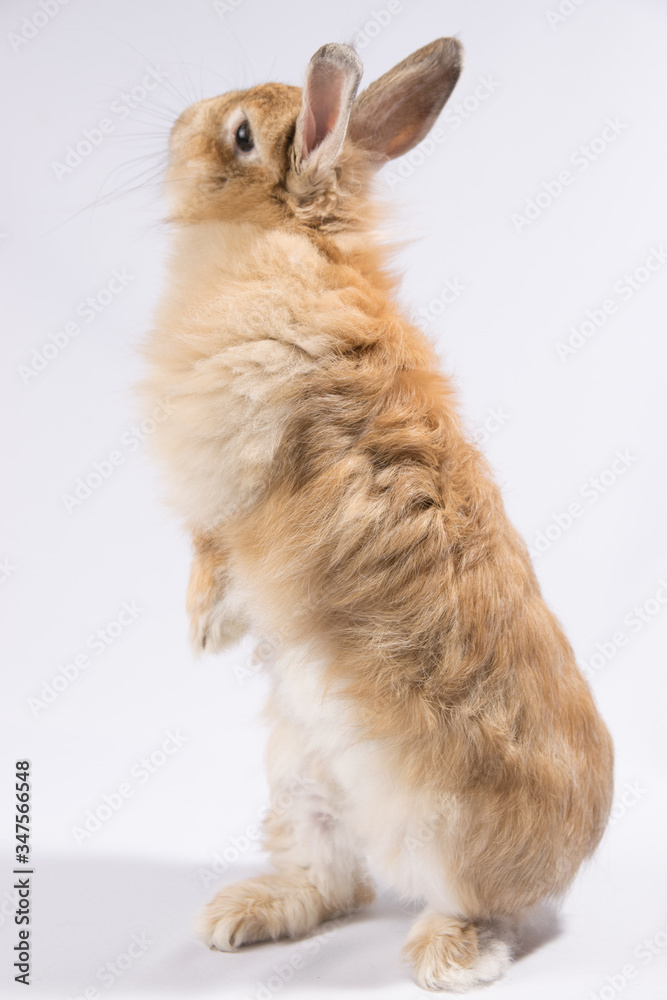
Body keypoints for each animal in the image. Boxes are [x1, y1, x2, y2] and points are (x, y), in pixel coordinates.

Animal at [140, 38, 614, 991]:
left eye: (241, 135)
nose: (175, 127)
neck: (292, 241)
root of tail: (567, 856)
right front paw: (209, 631)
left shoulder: (234, 471)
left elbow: (212, 545)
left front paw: (201, 626)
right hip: (299, 781)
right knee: (333, 883)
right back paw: (241, 916)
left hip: (448, 831)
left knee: (480, 907)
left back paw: (445, 960)